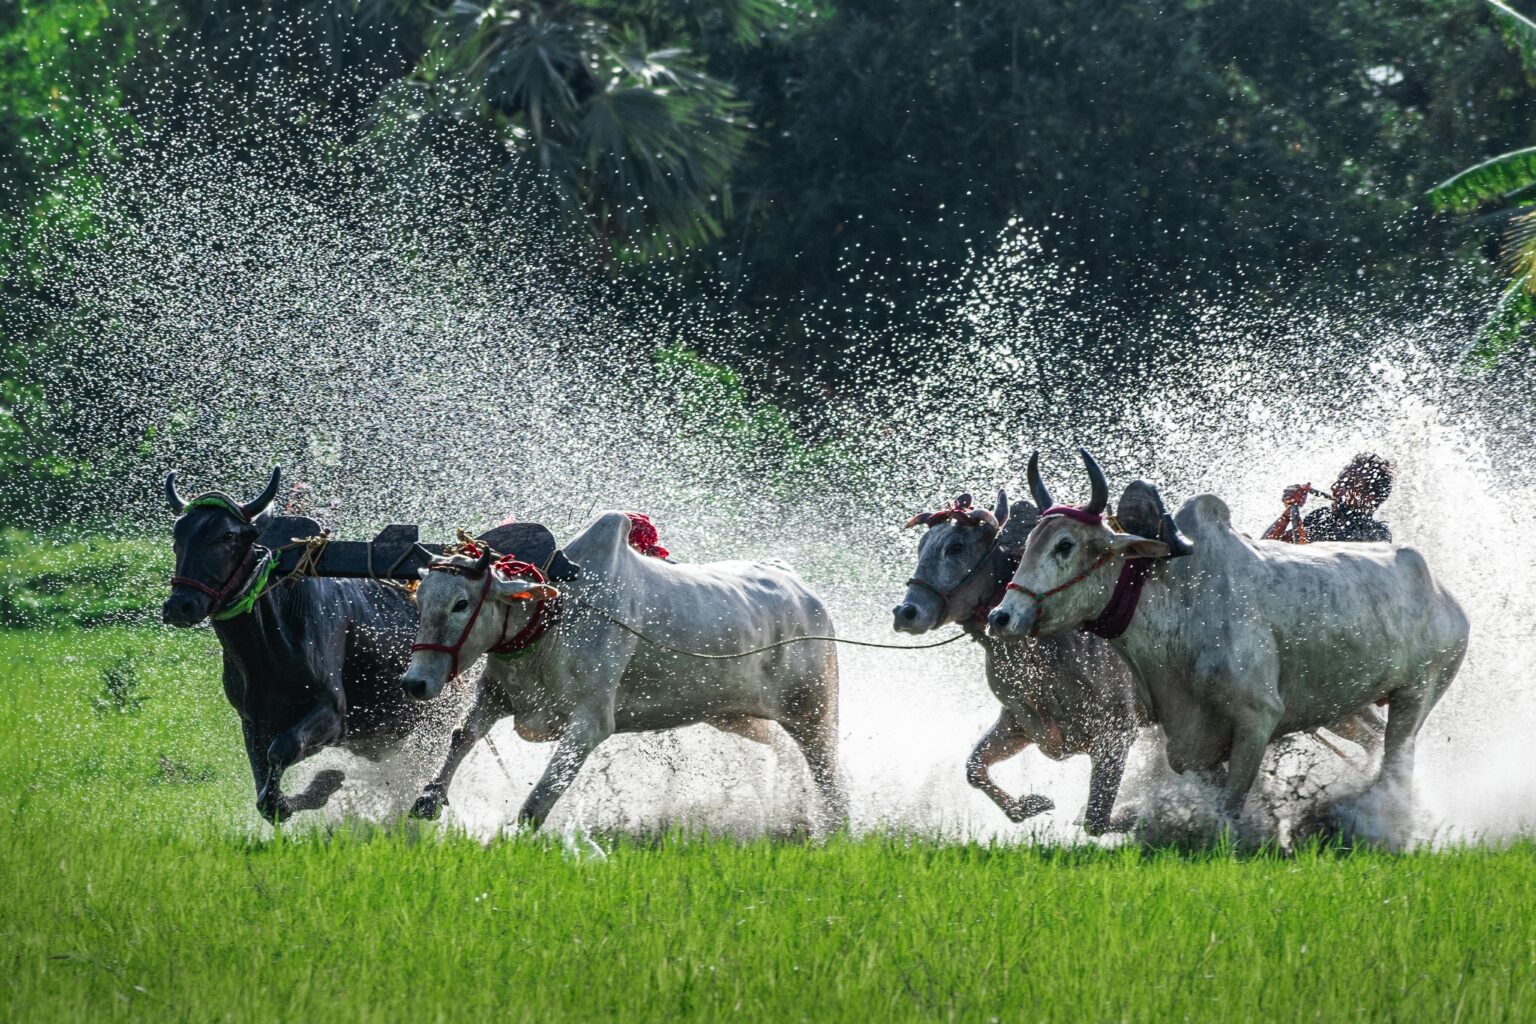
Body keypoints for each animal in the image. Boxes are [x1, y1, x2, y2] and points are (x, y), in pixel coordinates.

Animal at [162, 468, 454, 822]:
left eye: (227, 536)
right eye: (177, 536)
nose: (179, 606)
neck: (268, 647)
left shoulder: (333, 715)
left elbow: (281, 751)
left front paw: (326, 781)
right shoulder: (252, 721)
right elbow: (267, 798)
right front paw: (318, 789)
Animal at [399, 511, 845, 831]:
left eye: (461, 603)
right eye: (421, 599)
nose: (414, 682)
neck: (557, 614)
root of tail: (803, 589)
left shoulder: (590, 724)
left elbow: (537, 801)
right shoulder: (495, 693)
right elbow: (463, 735)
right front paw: (428, 798)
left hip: (814, 713)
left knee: (830, 778)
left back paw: (835, 828)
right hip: (733, 715)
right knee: (782, 749)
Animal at [892, 488, 1142, 834]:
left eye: (955, 547)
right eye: (921, 547)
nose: (905, 612)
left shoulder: (1117, 733)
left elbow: (1096, 818)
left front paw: (1134, 812)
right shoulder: (1016, 723)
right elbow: (974, 767)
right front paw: (1030, 804)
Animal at [987, 449, 1468, 825]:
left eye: (1065, 545)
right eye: (1031, 540)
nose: (1001, 616)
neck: (1181, 601)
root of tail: (1447, 598)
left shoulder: (1258, 720)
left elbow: (1230, 809)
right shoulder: (1189, 743)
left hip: (1416, 696)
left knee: (1395, 766)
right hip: (1348, 708)